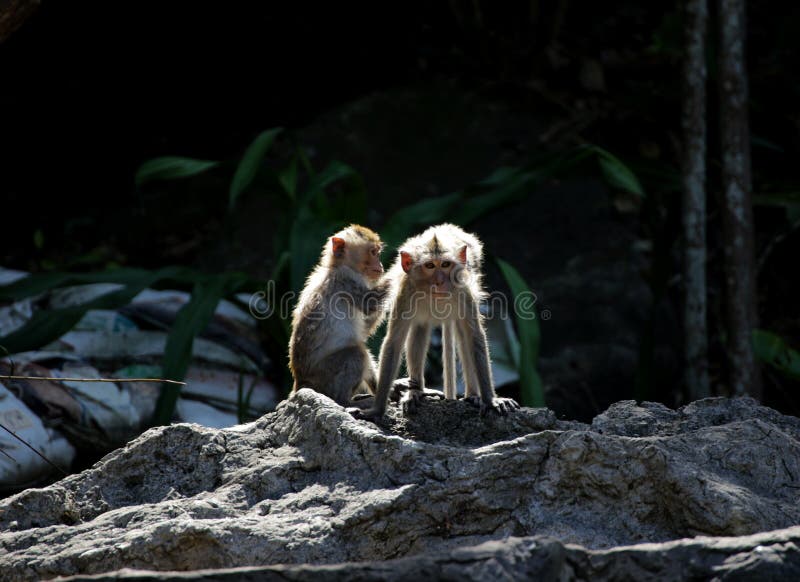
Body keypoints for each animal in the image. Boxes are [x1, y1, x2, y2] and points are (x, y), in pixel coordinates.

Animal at [288, 224, 388, 408]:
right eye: (373, 252)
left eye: (377, 252)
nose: (380, 265)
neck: (337, 266)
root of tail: (300, 383)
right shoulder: (345, 281)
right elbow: (370, 304)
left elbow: (365, 327)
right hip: (323, 377)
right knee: (355, 353)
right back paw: (346, 401)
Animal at [351, 223, 520, 421]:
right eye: (430, 266)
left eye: (445, 264)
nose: (440, 282)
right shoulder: (406, 292)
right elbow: (394, 342)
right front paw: (377, 410)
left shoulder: (463, 291)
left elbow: (475, 337)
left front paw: (491, 400)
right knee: (419, 329)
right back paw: (416, 392)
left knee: (462, 335)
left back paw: (472, 395)